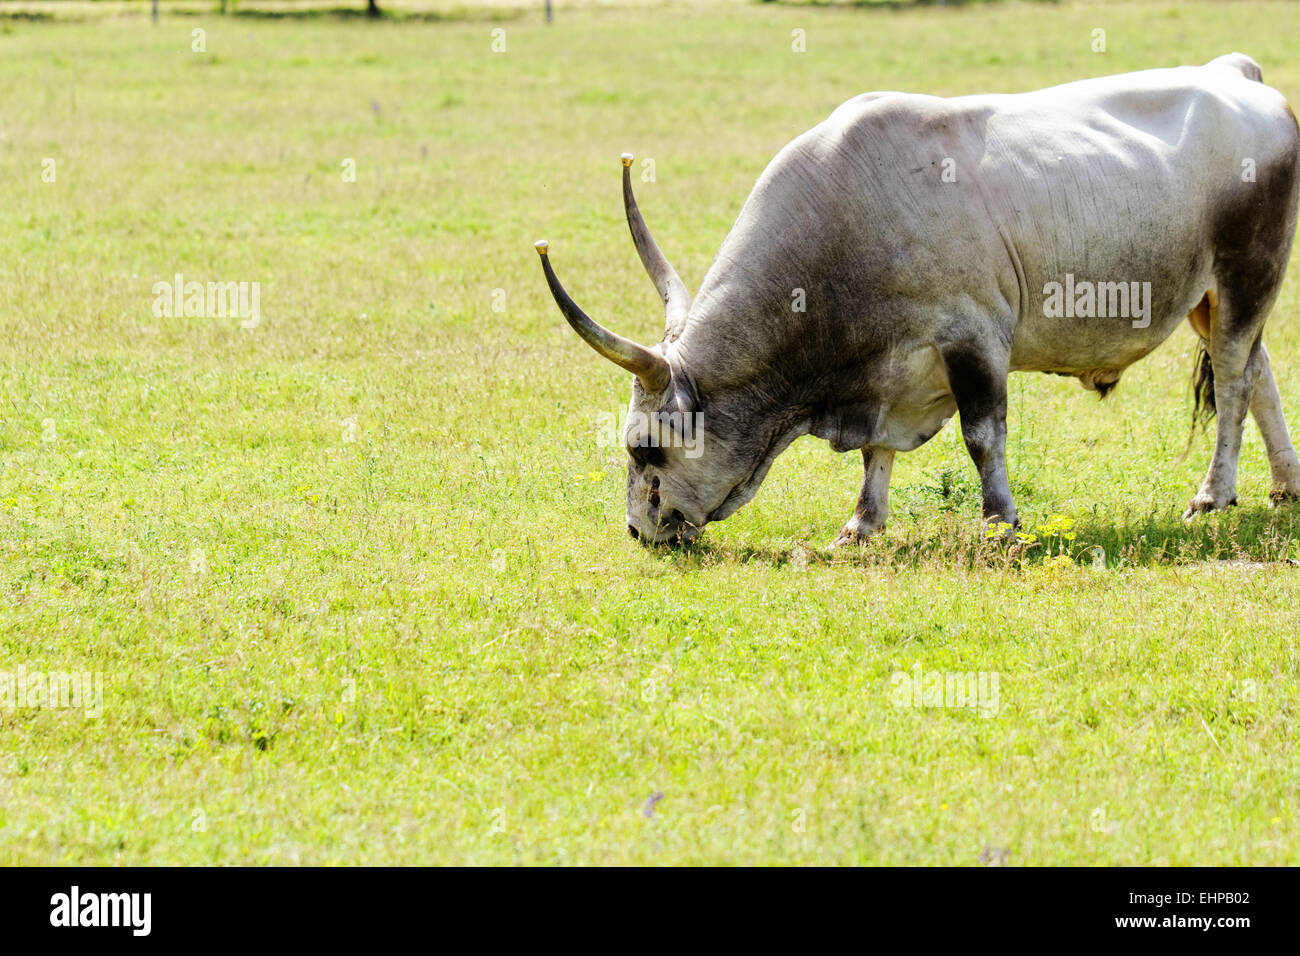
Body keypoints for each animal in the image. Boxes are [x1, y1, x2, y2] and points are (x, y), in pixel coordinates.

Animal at [535, 53, 1300, 547]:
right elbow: (877, 453)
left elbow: (982, 437)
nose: (638, 532)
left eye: (645, 448)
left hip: (1246, 274)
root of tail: (1234, 73)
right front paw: (861, 524)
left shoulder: (975, 337)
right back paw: (1285, 485)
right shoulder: (886, 372)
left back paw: (1214, 493)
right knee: (1257, 372)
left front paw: (1000, 523)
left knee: (1234, 383)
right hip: (1209, 297)